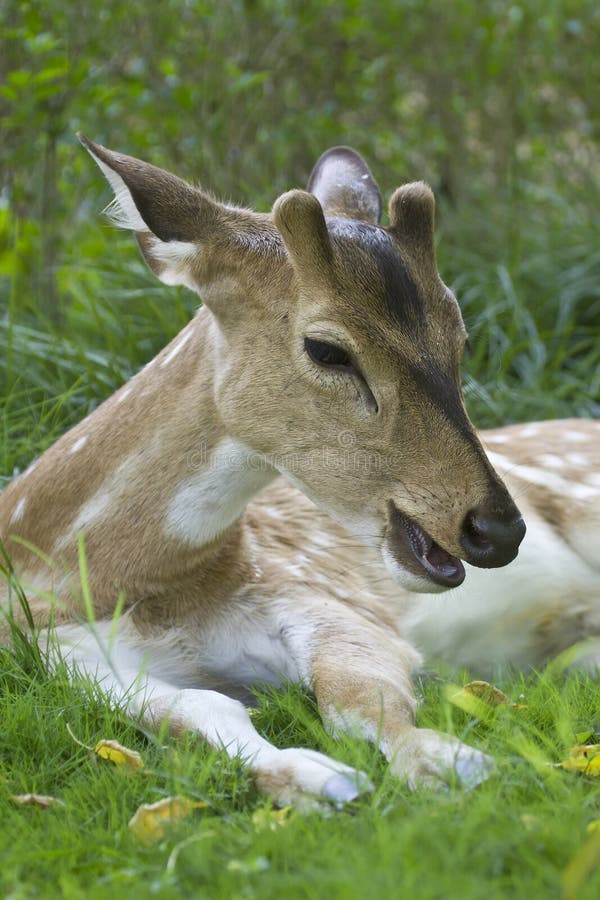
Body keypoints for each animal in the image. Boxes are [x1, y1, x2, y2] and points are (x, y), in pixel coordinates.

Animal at [0, 135, 534, 807]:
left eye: (459, 336)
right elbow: (195, 709)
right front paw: (321, 781)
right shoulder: (55, 651)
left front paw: (450, 762)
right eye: (327, 349)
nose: (498, 529)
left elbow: (362, 694)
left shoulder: (315, 595)